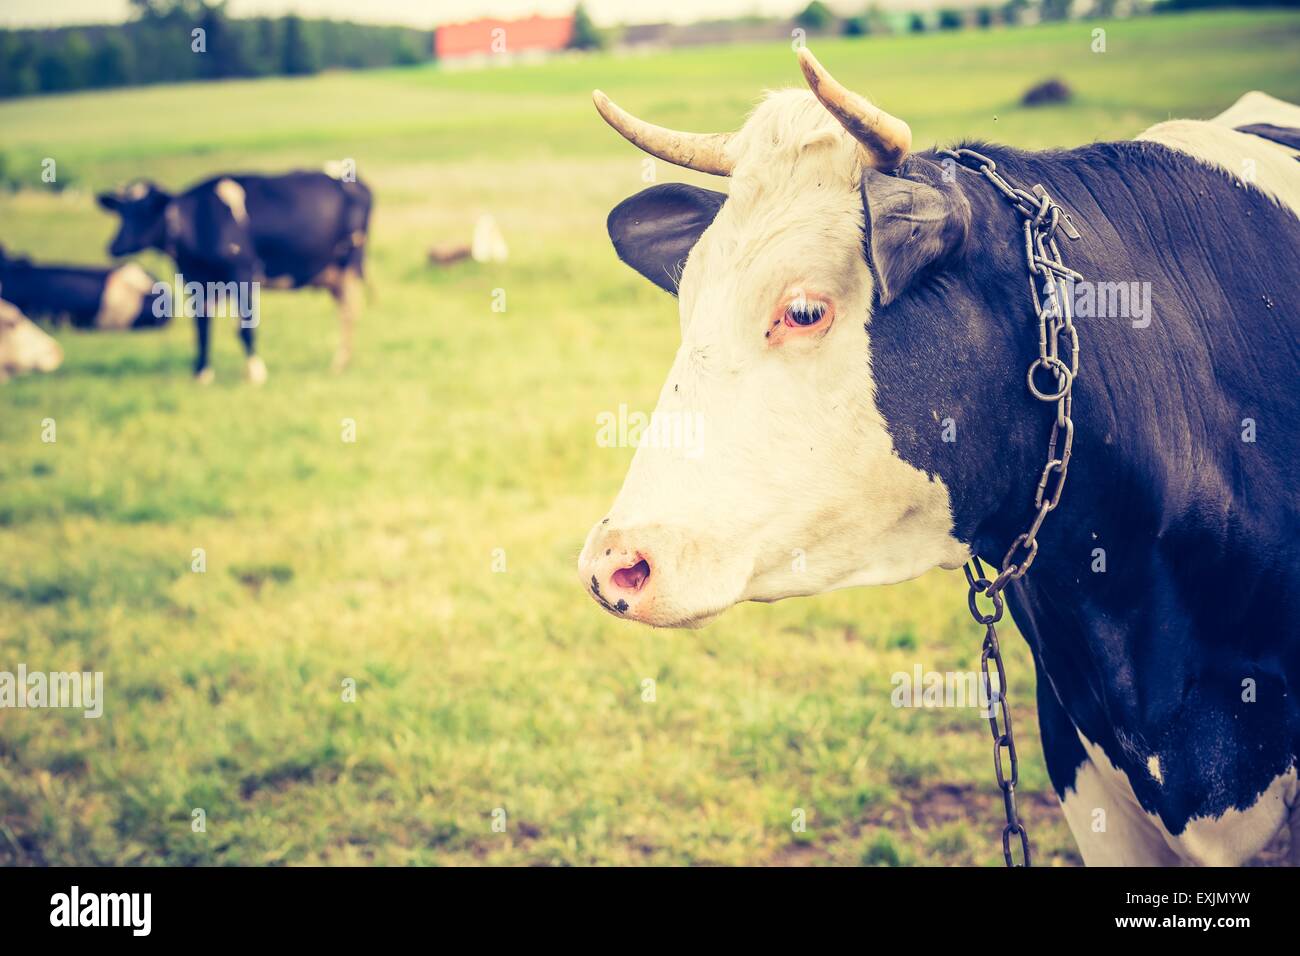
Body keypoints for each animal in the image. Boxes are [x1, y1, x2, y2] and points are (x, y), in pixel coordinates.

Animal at [97, 171, 372, 384]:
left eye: (145, 210)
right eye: (121, 211)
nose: (113, 246)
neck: (201, 219)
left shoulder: (243, 273)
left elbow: (245, 328)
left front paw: (256, 373)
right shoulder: (197, 279)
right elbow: (201, 326)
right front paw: (201, 373)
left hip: (350, 265)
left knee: (349, 313)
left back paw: (339, 364)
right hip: (334, 275)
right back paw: (342, 362)